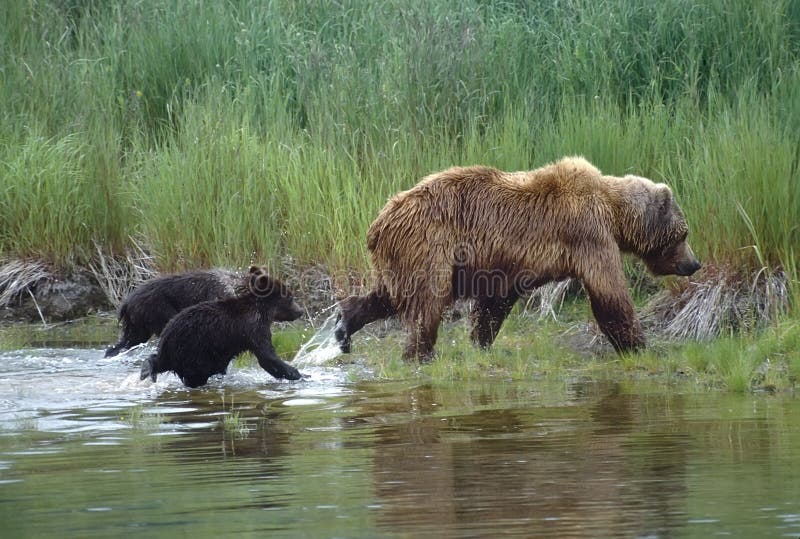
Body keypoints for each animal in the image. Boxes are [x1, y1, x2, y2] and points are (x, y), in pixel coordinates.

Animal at [140, 266, 304, 388]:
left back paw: (147, 369)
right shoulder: (253, 329)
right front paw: (299, 374)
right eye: (290, 297)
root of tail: (166, 337)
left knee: (160, 362)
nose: (300, 311)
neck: (262, 311)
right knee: (196, 374)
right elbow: (267, 356)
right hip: (193, 351)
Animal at [335, 156, 701, 360]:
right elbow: (609, 294)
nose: (694, 264)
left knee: (388, 295)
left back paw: (345, 325)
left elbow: (493, 304)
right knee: (426, 302)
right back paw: (420, 353)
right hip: (429, 244)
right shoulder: (589, 234)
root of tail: (379, 222)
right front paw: (639, 345)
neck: (613, 210)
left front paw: (480, 343)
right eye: (684, 234)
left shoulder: (507, 265)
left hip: (402, 256)